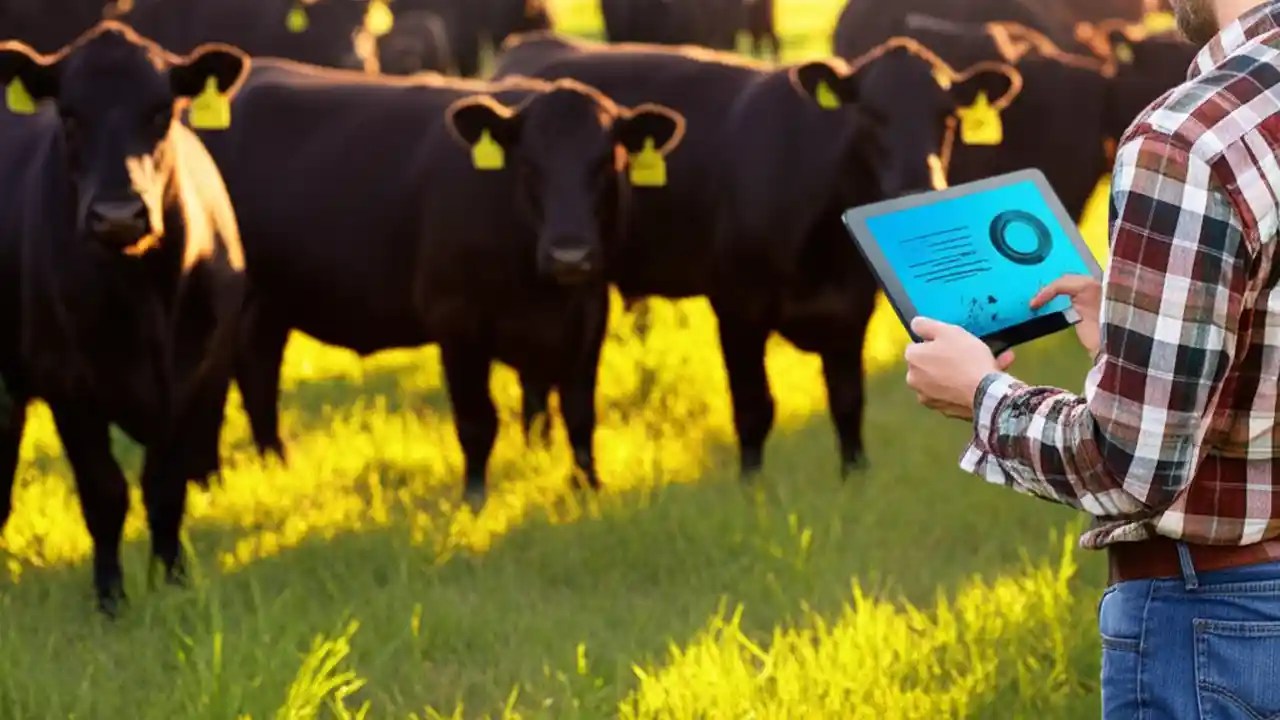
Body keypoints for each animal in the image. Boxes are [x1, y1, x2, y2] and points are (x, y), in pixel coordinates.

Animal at [0, 21, 249, 615]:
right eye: (68, 115)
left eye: (162, 111)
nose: (117, 215)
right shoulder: (68, 385)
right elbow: (105, 492)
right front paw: (110, 598)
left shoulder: (201, 378)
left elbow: (166, 487)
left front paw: (175, 582)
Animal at [188, 59, 685, 509]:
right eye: (528, 164)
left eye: (606, 162)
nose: (570, 254)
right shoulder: (457, 321)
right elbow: (477, 421)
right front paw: (474, 500)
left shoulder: (588, 312)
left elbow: (580, 414)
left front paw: (589, 488)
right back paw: (208, 482)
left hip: (268, 305)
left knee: (257, 374)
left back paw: (275, 467)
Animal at [493, 32, 1021, 480]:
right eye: (868, 114)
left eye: (947, 117)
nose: (917, 188)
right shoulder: (736, 307)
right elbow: (753, 407)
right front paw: (754, 493)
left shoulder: (850, 311)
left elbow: (848, 402)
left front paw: (854, 478)